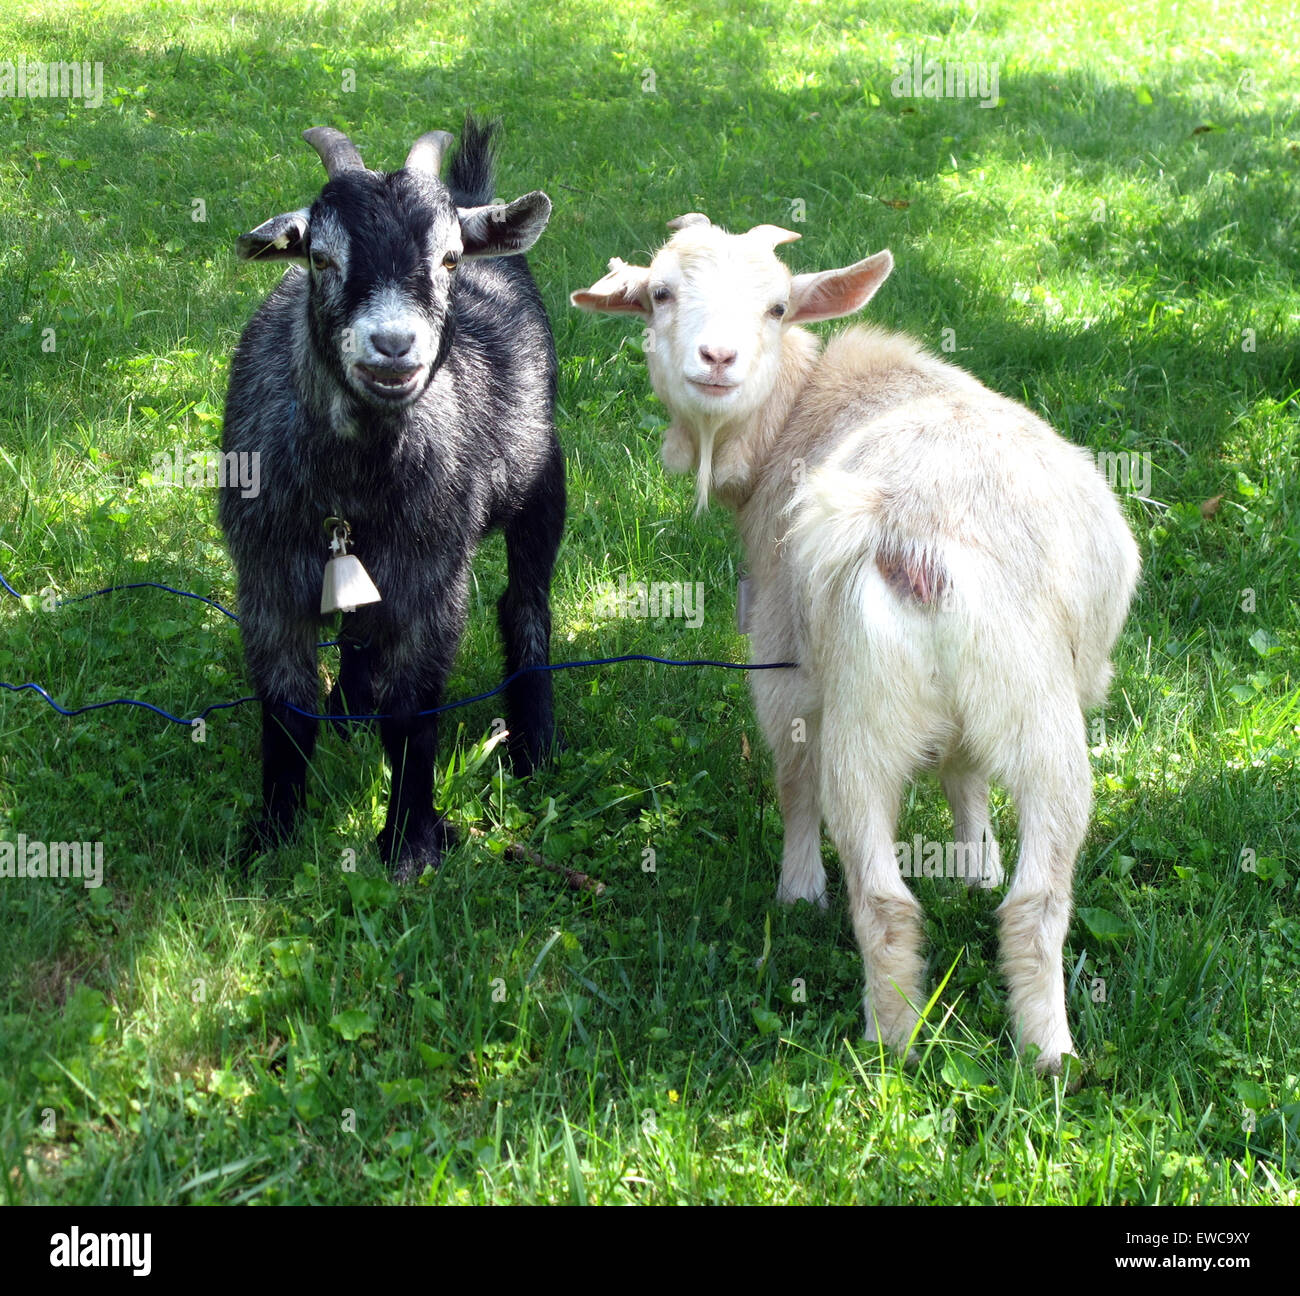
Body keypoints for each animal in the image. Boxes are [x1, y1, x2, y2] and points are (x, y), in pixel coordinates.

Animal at [220, 119, 564, 881]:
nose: (393, 346)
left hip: (543, 479)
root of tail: (476, 197)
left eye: (449, 259)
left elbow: (412, 711)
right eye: (319, 256)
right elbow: (285, 708)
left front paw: (409, 844)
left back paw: (536, 744)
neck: (351, 485)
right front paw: (272, 836)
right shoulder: (267, 576)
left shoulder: (434, 578)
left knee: (526, 600)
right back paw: (351, 703)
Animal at [572, 214, 1139, 1072]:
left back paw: (887, 1046)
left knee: (881, 896)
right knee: (1036, 901)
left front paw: (798, 888)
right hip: (1036, 717)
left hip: (868, 711)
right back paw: (1047, 1054)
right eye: (660, 294)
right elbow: (965, 776)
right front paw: (975, 868)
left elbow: (790, 776)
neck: (795, 411)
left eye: (776, 307)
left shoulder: (780, 653)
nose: (718, 359)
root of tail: (922, 533)